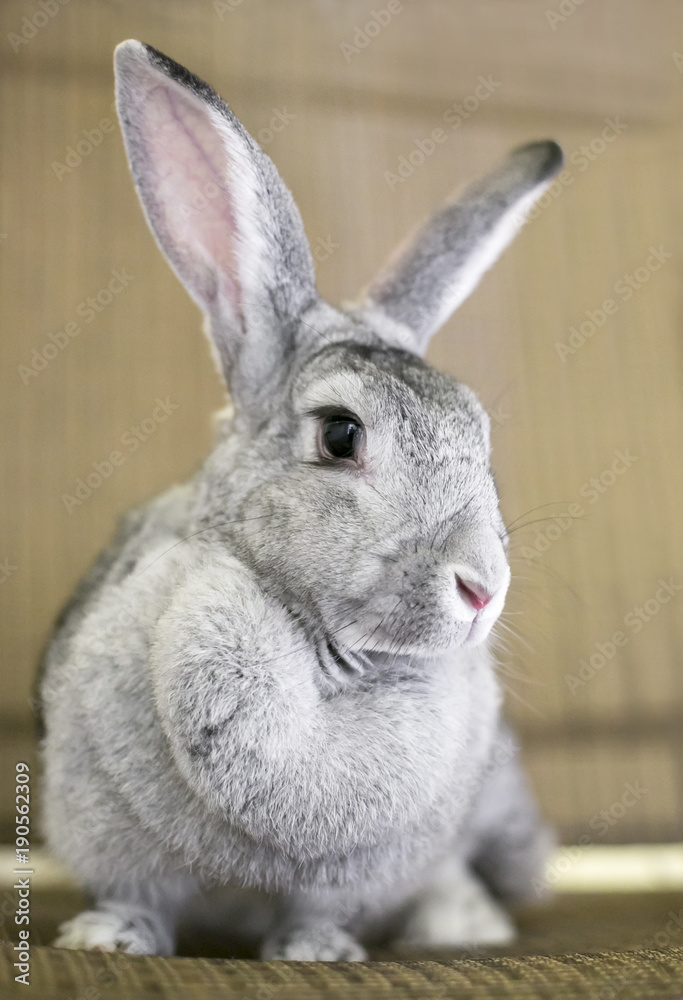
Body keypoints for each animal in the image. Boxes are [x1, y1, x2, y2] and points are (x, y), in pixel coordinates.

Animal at [37, 39, 563, 962]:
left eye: (478, 432)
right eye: (341, 436)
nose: (482, 590)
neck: (327, 653)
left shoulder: (360, 871)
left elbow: (319, 909)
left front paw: (316, 951)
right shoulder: (107, 830)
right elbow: (136, 892)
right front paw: (108, 939)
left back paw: (459, 924)